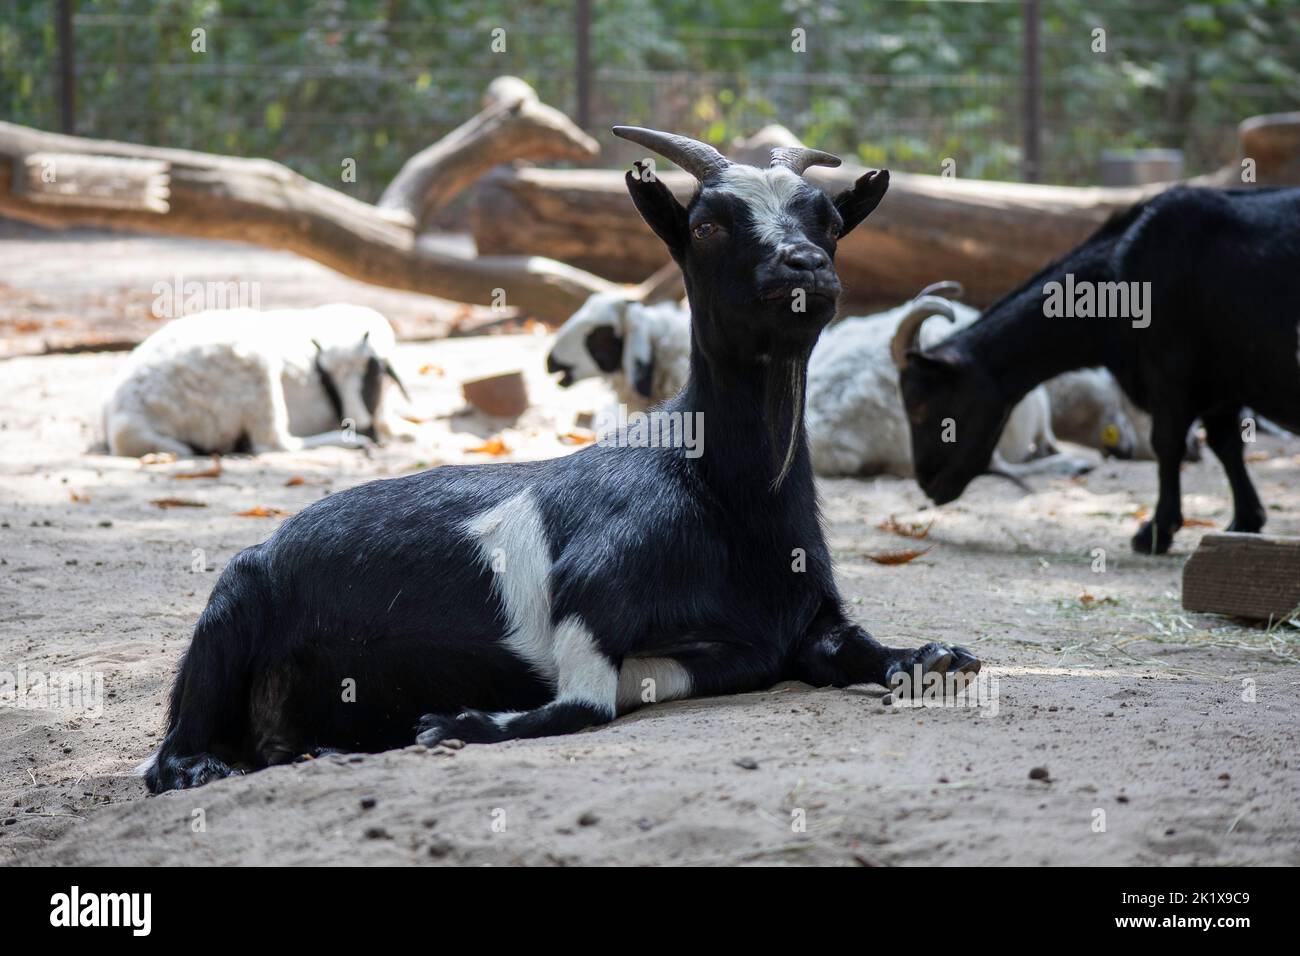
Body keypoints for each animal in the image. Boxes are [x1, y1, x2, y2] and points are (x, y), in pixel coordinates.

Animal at [104, 305, 411, 457]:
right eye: (325, 380)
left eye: (375, 372)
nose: (357, 423)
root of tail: (129, 419)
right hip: (256, 366)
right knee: (273, 444)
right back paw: (351, 442)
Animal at [142, 127, 980, 791]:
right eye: (708, 224)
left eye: (830, 220)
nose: (803, 266)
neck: (727, 496)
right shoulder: (591, 586)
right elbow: (586, 699)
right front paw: (457, 724)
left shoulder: (799, 625)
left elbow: (848, 649)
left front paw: (937, 655)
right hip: (232, 603)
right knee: (166, 761)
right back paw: (208, 765)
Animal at [895, 186, 1300, 554]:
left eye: (920, 405)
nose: (927, 482)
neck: (1120, 276)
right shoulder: (1221, 388)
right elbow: (1226, 444)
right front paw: (1245, 521)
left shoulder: (1170, 373)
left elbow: (1167, 444)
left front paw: (1154, 533)